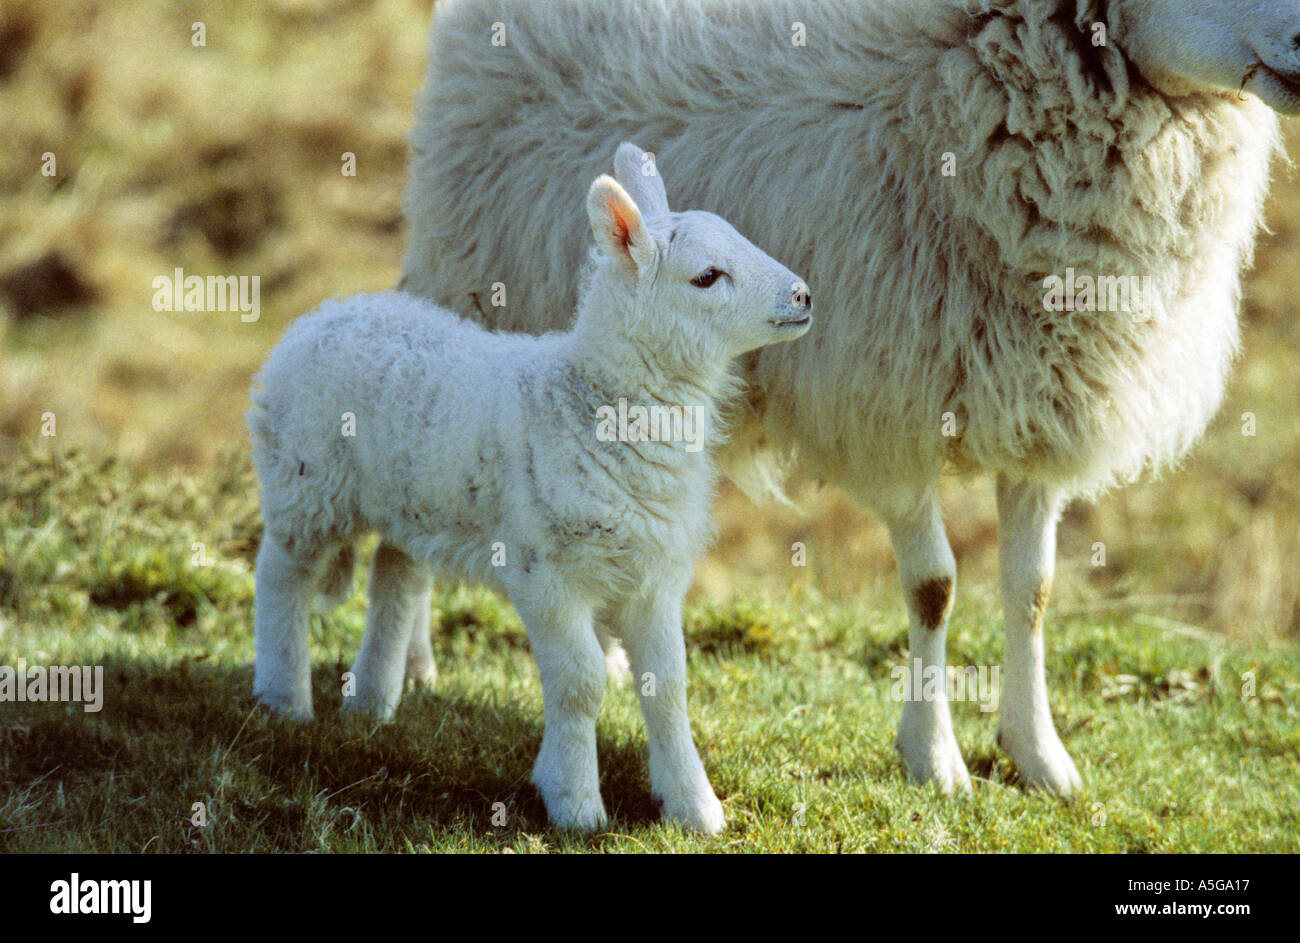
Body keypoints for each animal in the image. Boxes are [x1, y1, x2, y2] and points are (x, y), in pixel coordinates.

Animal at [248, 143, 812, 833]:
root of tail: (328, 312)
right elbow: (582, 681)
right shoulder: (546, 571)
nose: (804, 295)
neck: (592, 401)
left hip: (414, 496)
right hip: (306, 482)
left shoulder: (653, 572)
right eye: (707, 276)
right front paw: (574, 801)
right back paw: (284, 698)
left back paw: (373, 701)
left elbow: (671, 685)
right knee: (282, 576)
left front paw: (693, 806)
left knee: (395, 574)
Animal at [401, 0, 1294, 795]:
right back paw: (408, 666)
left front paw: (1039, 755)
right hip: (467, 286)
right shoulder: (887, 407)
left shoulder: (1039, 404)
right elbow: (934, 587)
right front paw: (933, 757)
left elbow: (1033, 591)